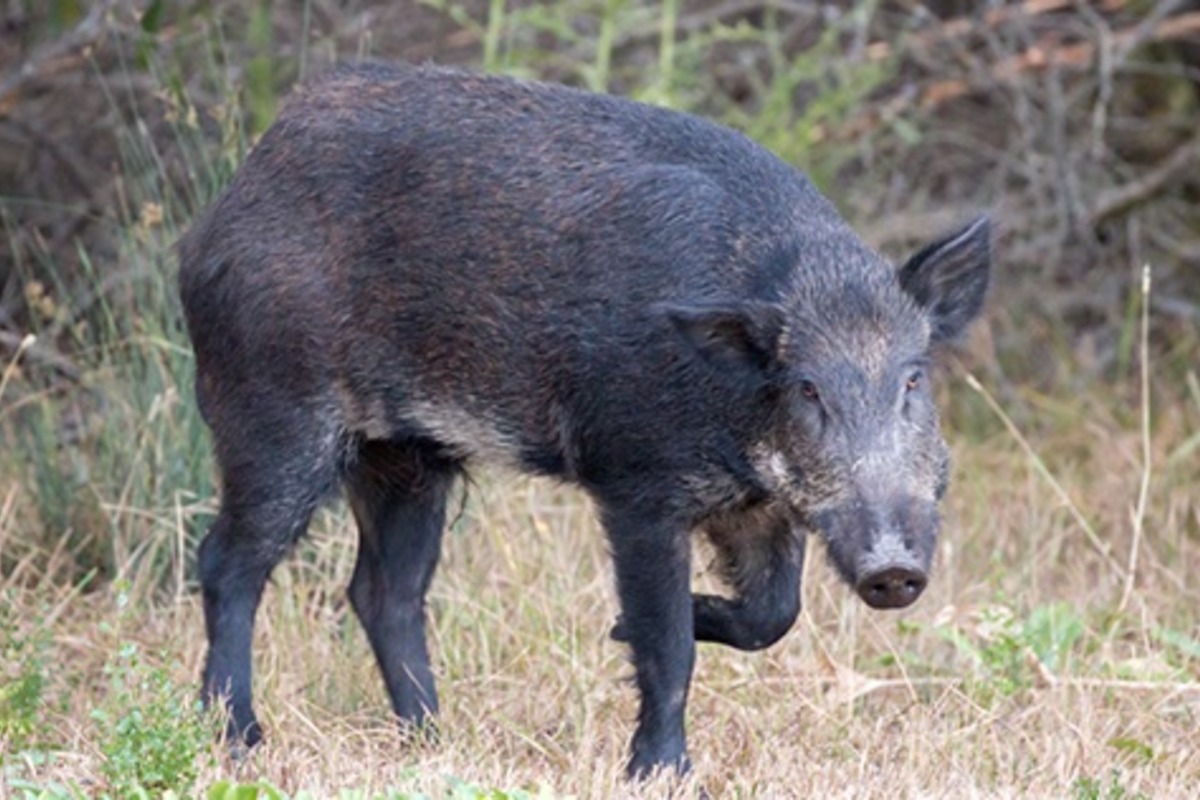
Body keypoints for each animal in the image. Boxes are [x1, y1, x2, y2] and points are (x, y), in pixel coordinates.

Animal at [178, 62, 990, 777]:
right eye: (806, 389)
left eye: (913, 379)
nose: (893, 568)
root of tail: (226, 203)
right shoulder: (636, 486)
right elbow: (668, 645)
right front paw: (658, 765)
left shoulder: (758, 508)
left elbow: (773, 615)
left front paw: (620, 631)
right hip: (275, 410)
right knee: (228, 563)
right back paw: (241, 742)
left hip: (407, 454)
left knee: (385, 592)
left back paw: (436, 744)